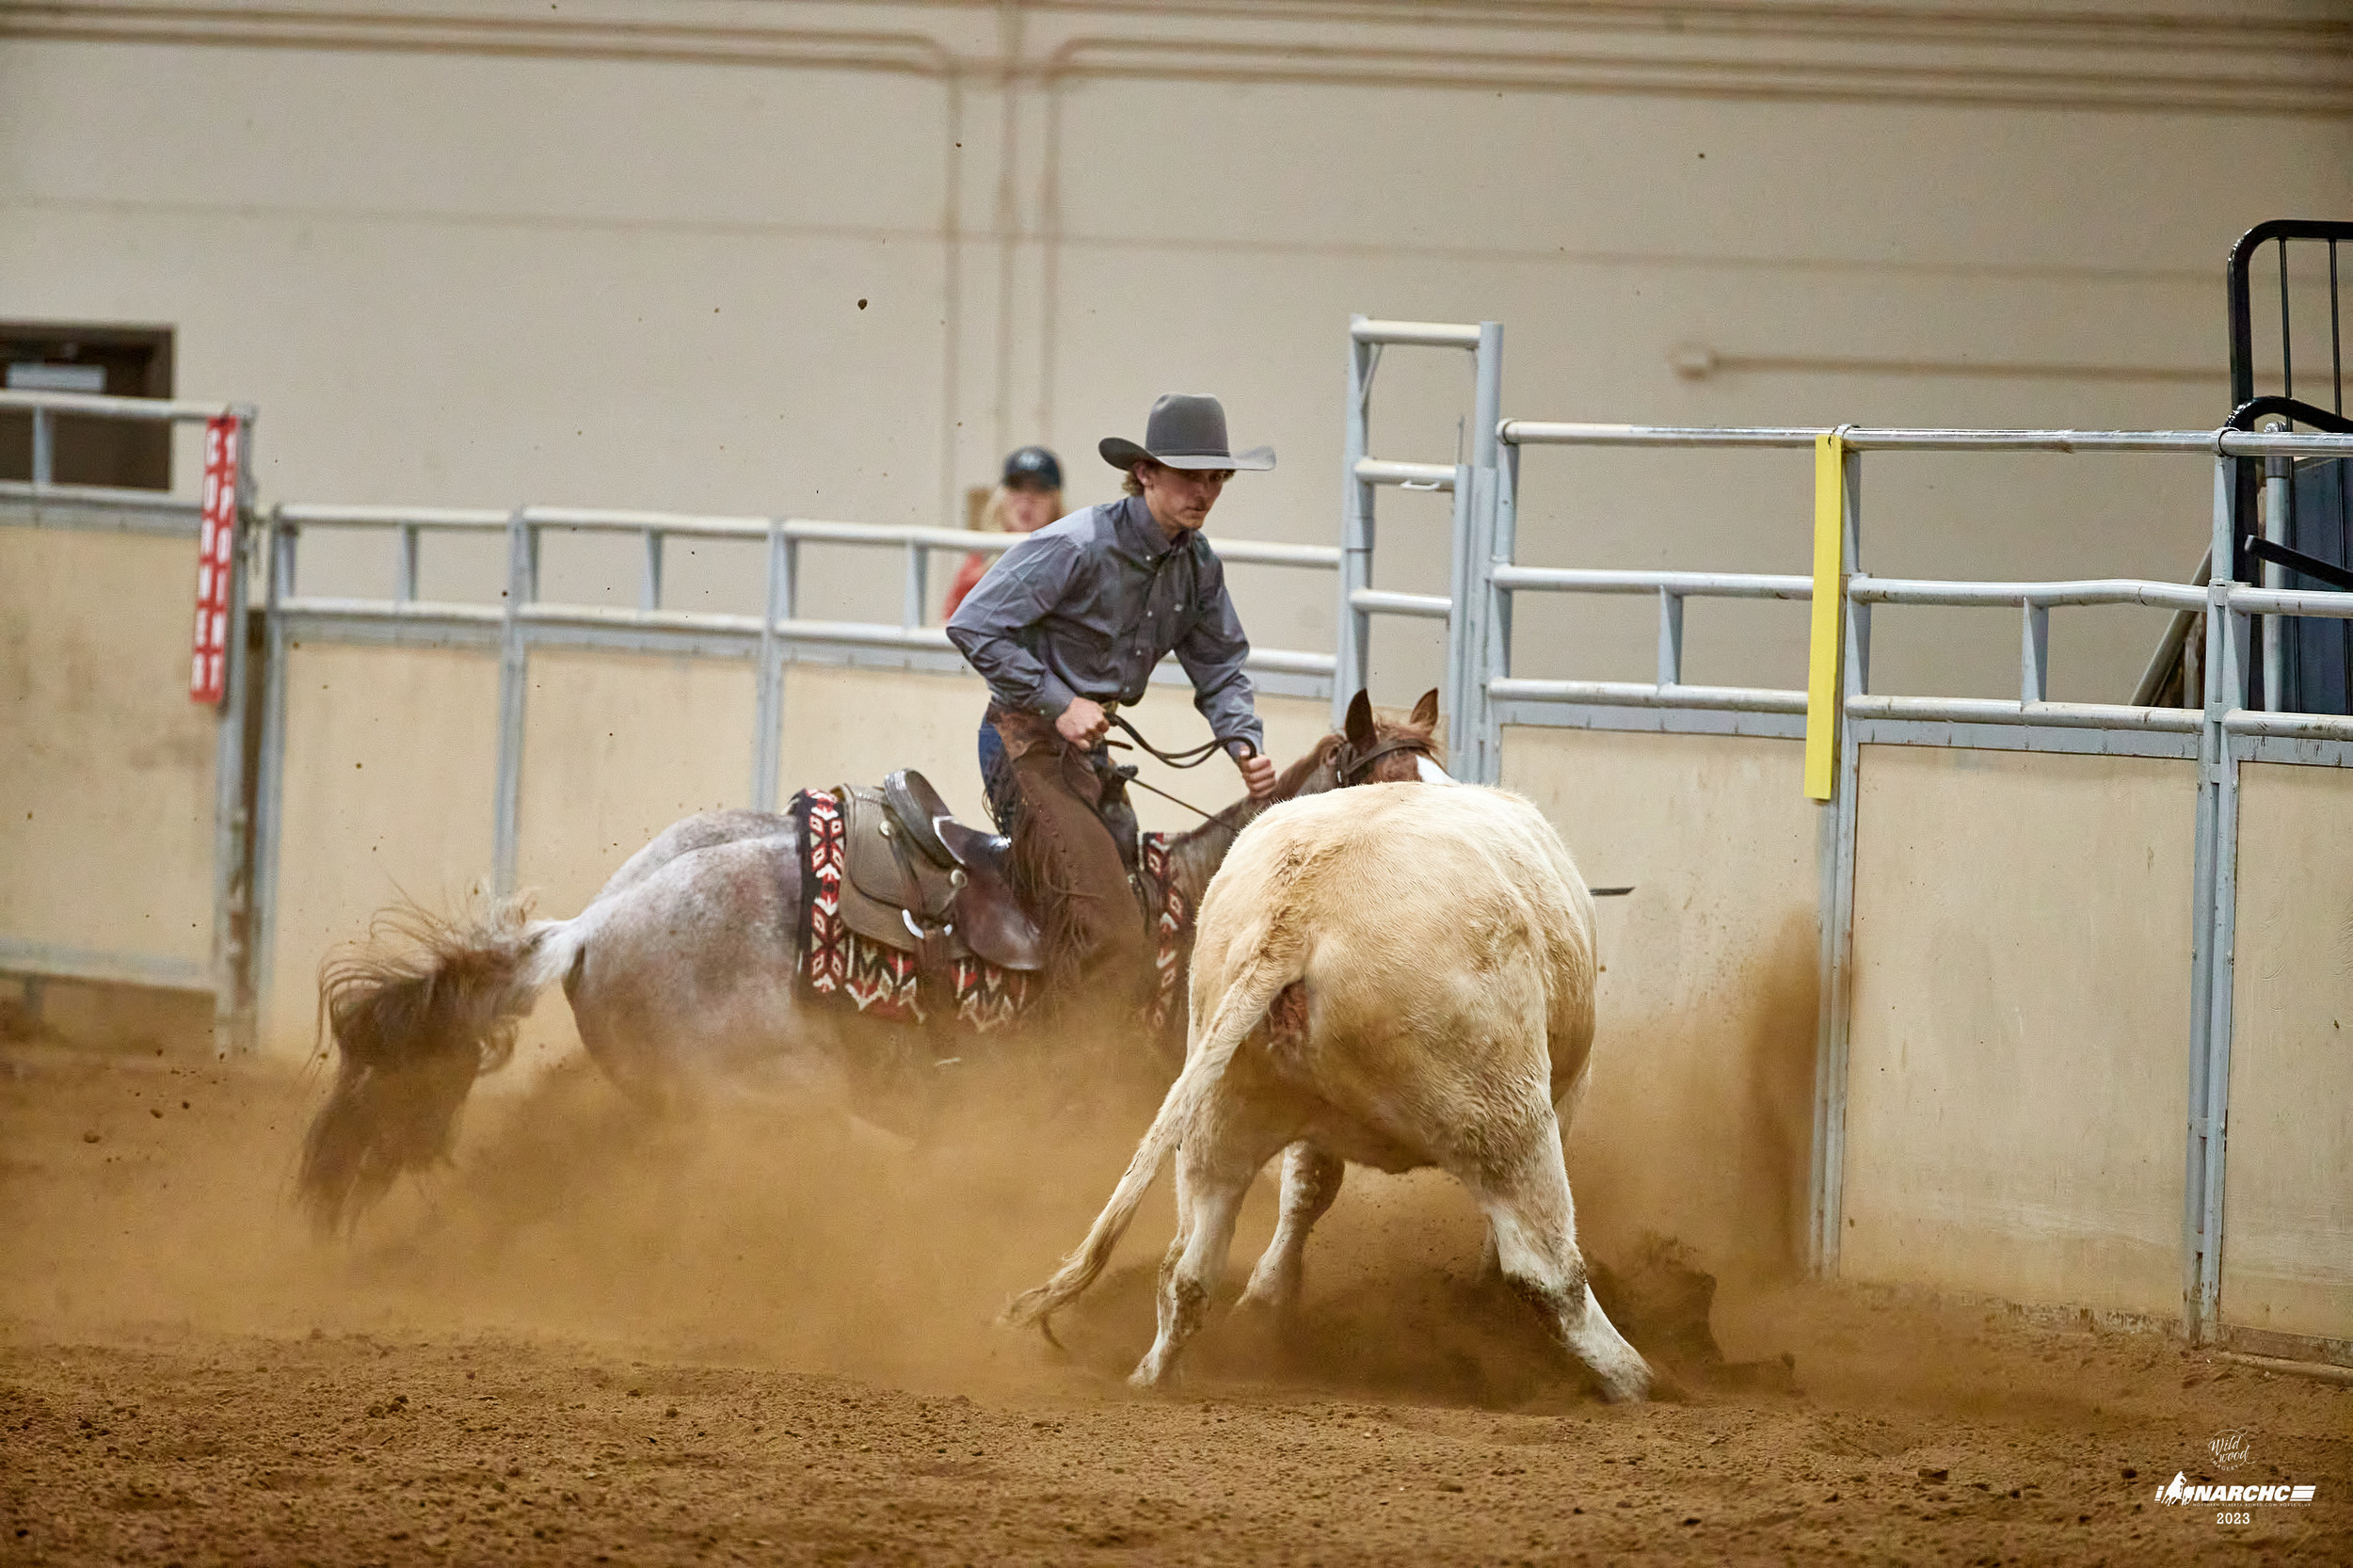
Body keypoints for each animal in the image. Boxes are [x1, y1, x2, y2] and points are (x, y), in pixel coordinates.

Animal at [1003, 781, 1654, 1403]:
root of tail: (1297, 910)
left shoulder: (1311, 1129)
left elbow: (1305, 1192)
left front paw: (1268, 1299)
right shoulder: (1565, 1095)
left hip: (1223, 1111)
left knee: (1189, 1267)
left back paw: (1157, 1373)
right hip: (1503, 1115)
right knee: (1544, 1269)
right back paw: (1635, 1378)